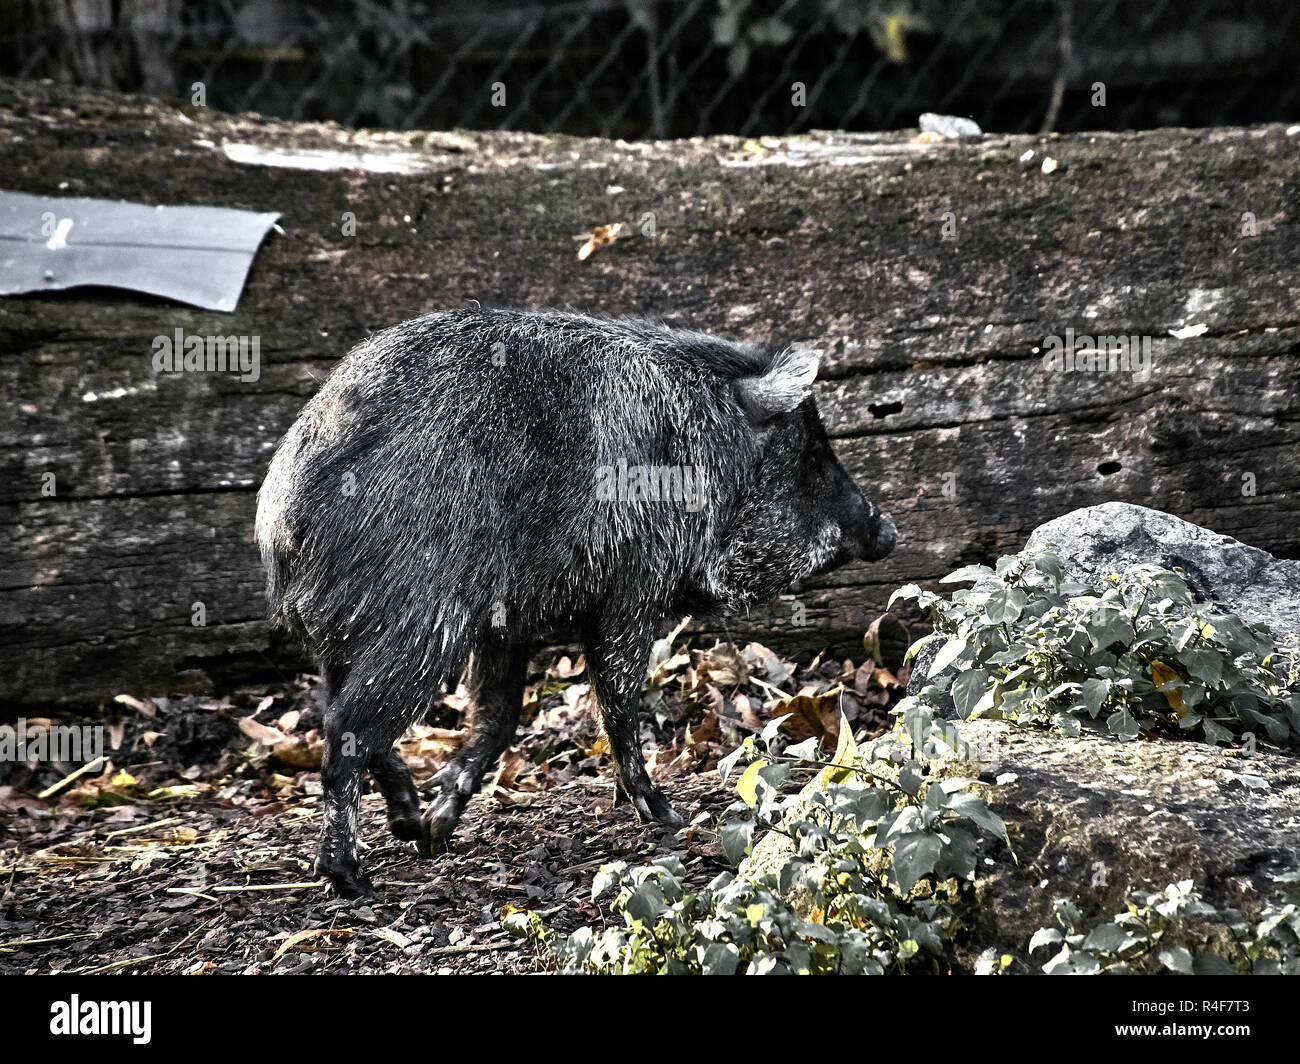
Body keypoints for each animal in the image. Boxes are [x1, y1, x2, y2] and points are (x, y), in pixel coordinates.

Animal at [256, 308, 896, 897]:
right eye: (811, 454)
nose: (887, 531)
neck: (706, 451)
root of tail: (282, 516)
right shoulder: (631, 592)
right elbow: (617, 703)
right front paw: (670, 819)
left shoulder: (506, 624)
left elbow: (499, 717)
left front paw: (439, 828)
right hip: (420, 625)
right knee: (346, 725)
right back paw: (351, 878)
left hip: (349, 638)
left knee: (348, 719)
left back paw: (411, 827)